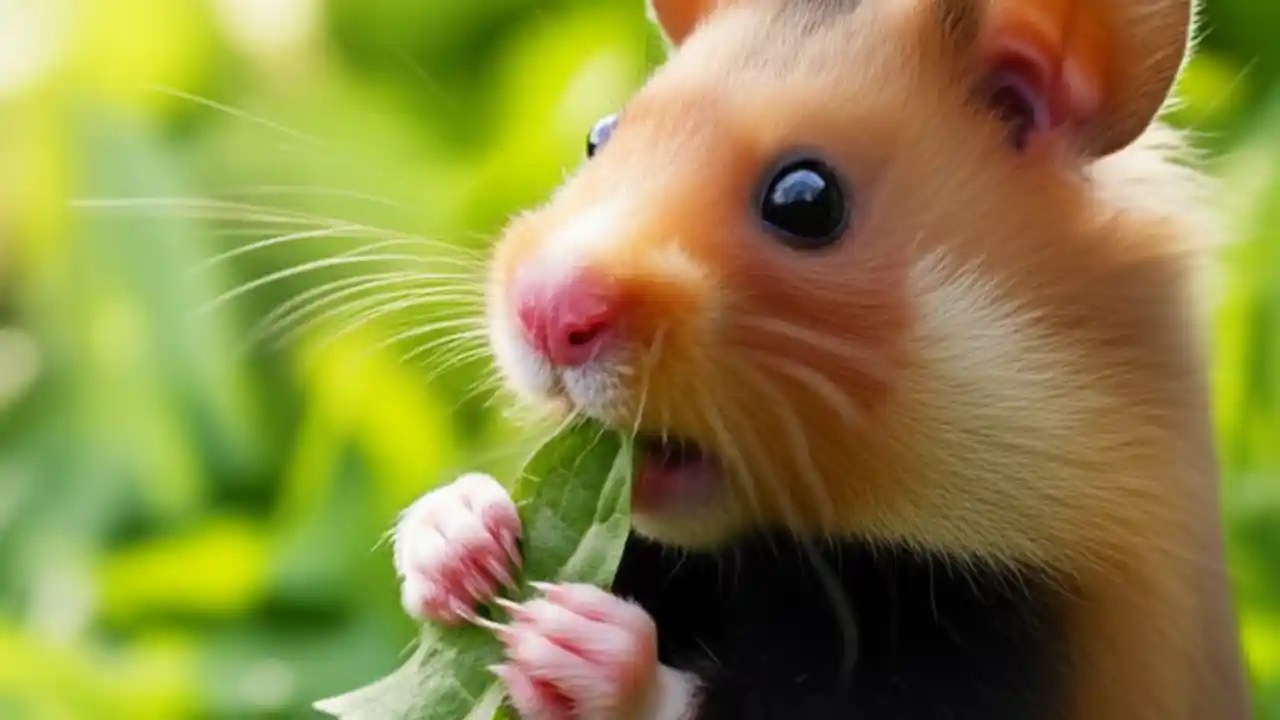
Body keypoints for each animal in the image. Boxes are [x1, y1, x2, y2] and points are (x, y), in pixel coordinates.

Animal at [391, 0, 1252, 718]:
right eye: (597, 137)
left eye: (806, 200)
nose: (545, 316)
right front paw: (463, 539)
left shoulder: (999, 640)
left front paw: (563, 645)